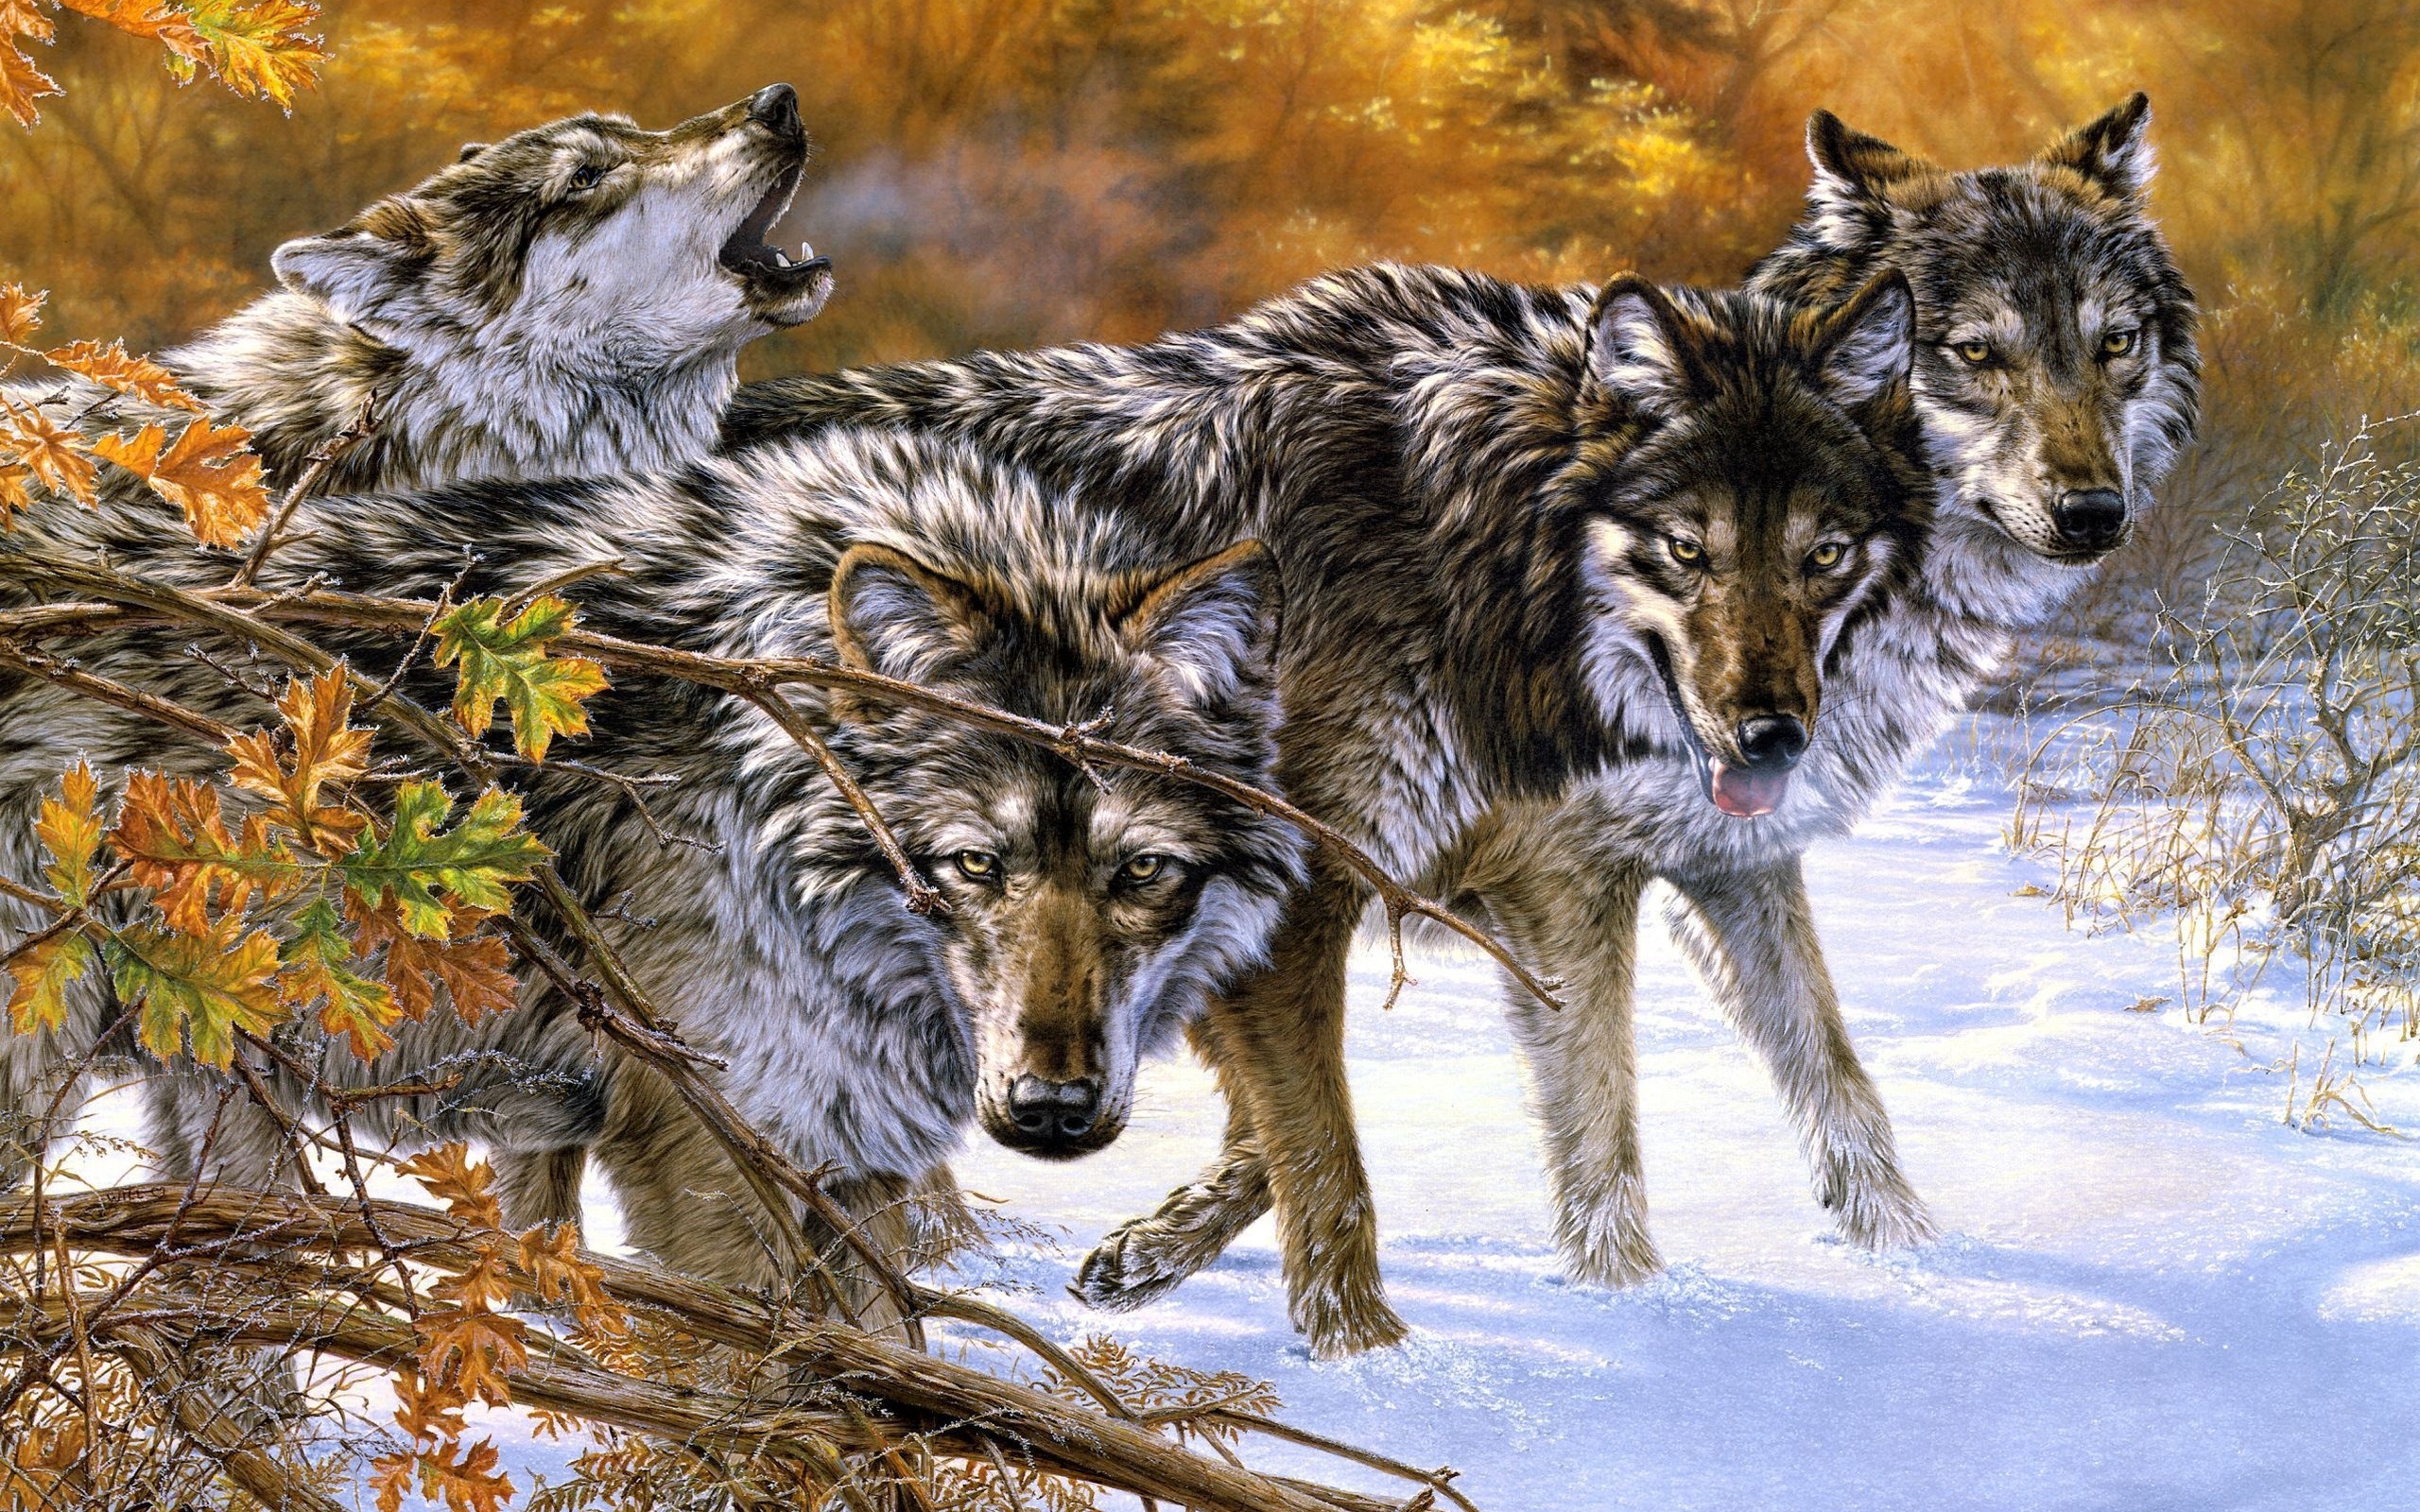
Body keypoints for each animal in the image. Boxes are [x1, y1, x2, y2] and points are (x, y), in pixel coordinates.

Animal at [723, 263, 1932, 1353]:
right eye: (1688, 551)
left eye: (1824, 555)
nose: (1773, 737)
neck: (1464, 558)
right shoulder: (1318, 896)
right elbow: (1332, 1147)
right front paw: (1371, 1357)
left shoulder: (1655, 870)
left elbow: (1826, 1071)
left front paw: (1906, 1256)